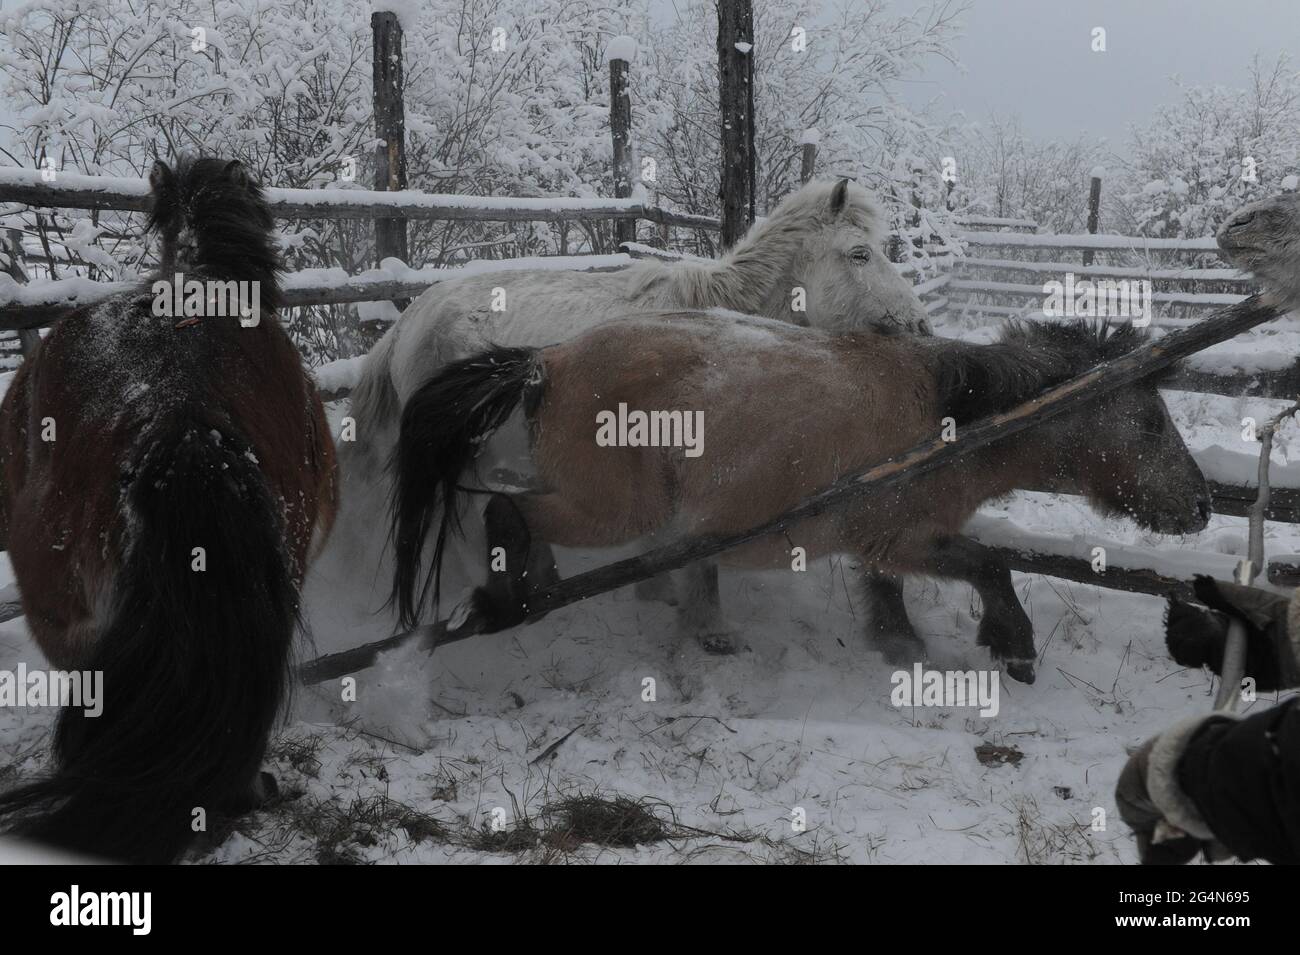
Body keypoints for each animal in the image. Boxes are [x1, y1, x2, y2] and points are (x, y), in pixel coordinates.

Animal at [331, 178, 931, 653]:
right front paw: (709, 628)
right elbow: (698, 552)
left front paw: (657, 593)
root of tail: (406, 322)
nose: (920, 328)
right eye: (860, 254)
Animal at [387, 314, 1210, 682]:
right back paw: (513, 596)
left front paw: (899, 644)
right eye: (1151, 420)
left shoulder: (883, 542)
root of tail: (545, 361)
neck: (952, 418)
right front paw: (1013, 646)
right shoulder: (905, 534)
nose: (1202, 506)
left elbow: (891, 591)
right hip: (615, 508)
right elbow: (991, 564)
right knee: (505, 507)